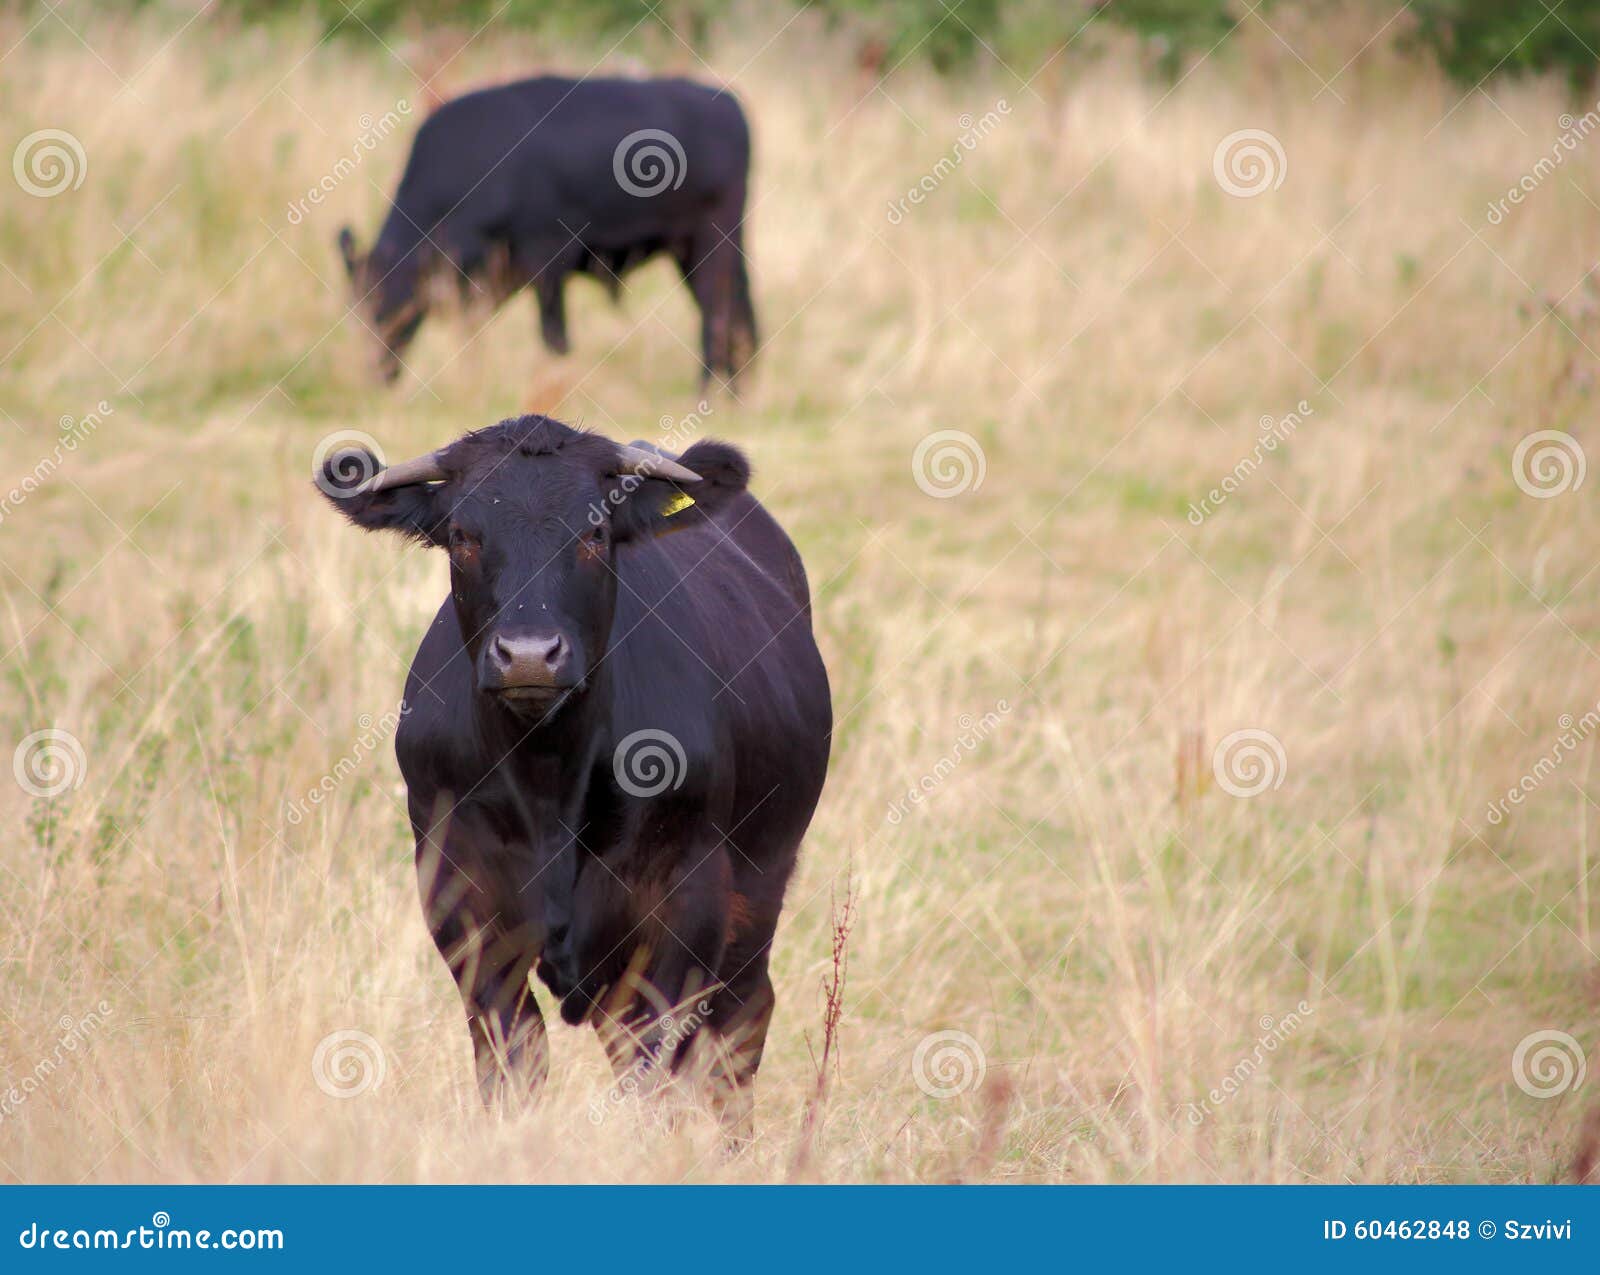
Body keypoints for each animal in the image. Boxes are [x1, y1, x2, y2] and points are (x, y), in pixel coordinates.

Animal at [318, 415, 830, 1138]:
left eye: (594, 532)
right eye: (463, 534)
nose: (530, 655)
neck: (549, 774)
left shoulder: (683, 901)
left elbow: (654, 1066)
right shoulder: (461, 899)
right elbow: (514, 1055)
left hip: (760, 887)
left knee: (736, 1029)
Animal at [336, 76, 758, 390]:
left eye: (391, 304)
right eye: (356, 305)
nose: (374, 371)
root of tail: (725, 102)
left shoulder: (547, 258)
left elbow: (555, 337)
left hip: (711, 243)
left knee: (718, 313)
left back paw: (705, 390)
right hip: (693, 250)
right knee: (738, 312)